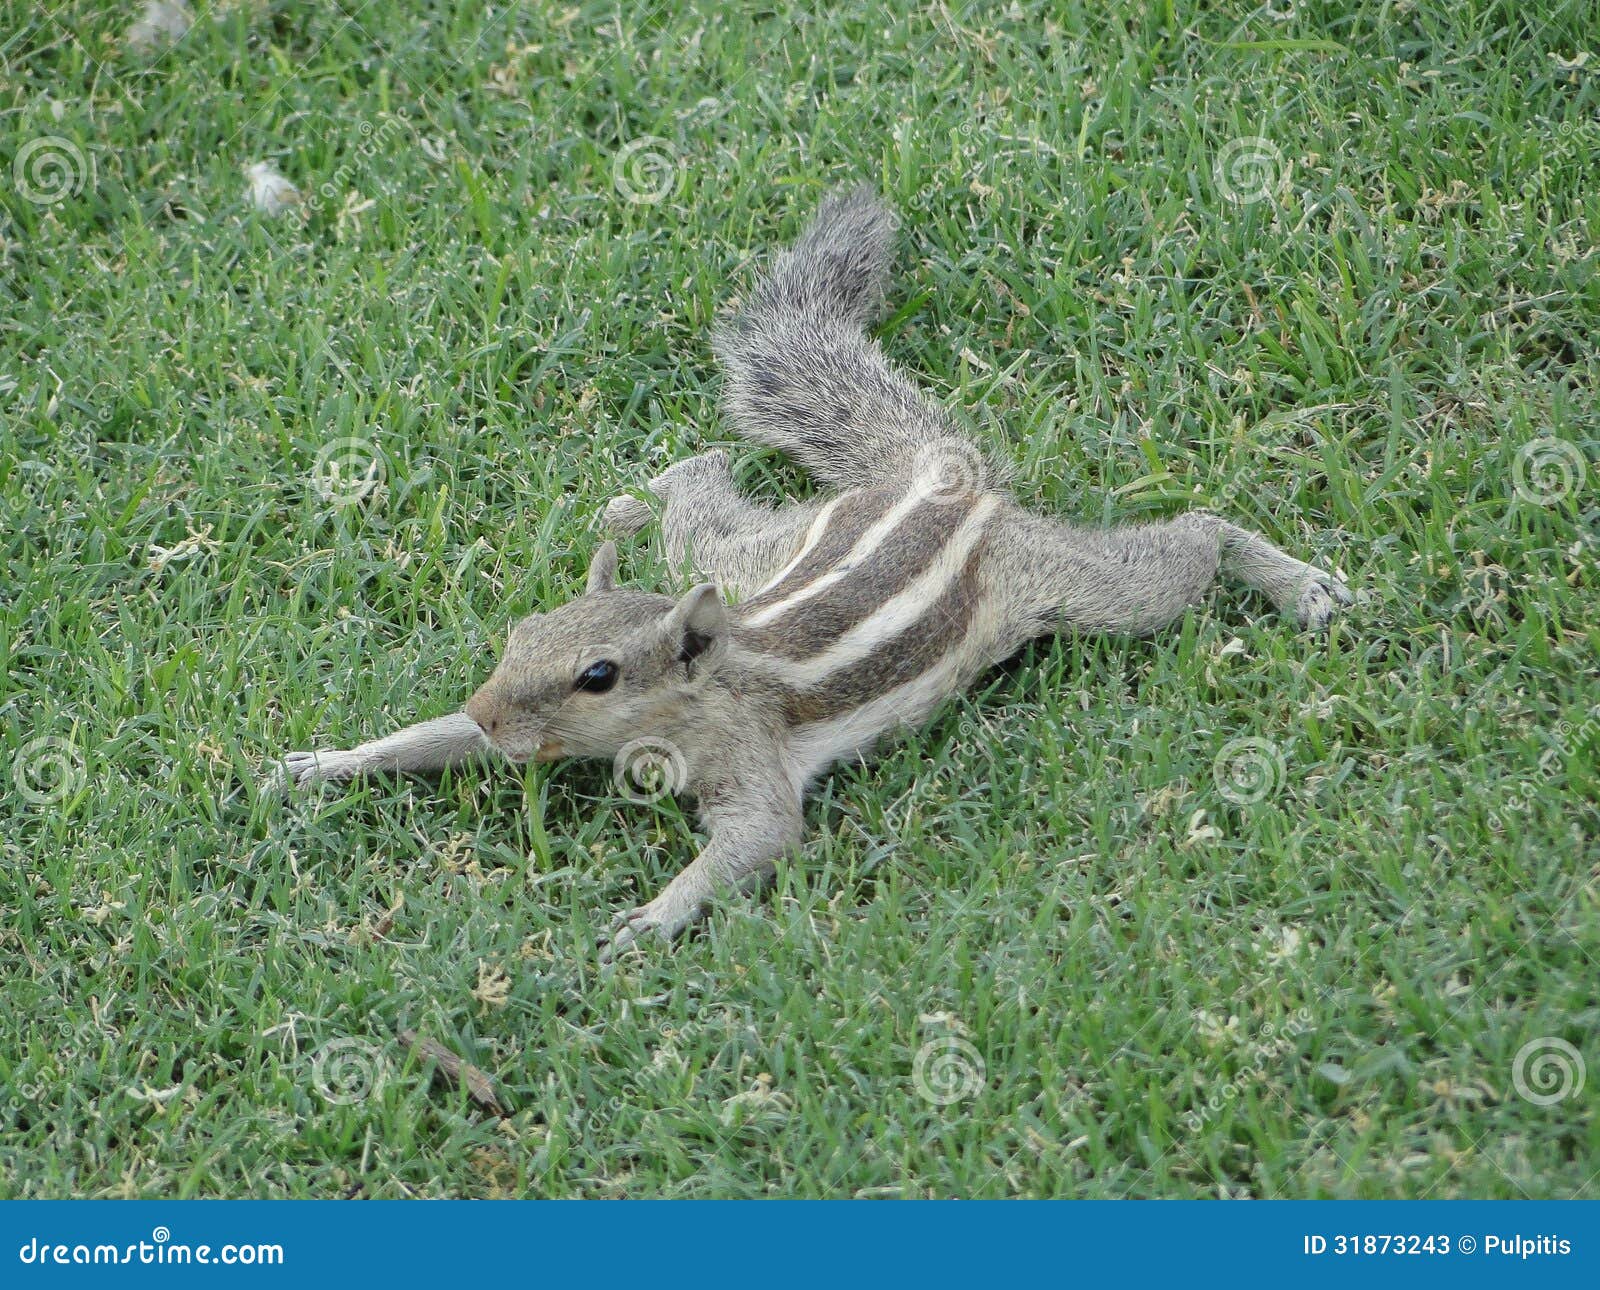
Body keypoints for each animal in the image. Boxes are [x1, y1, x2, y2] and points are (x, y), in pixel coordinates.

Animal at [277, 186, 1353, 960]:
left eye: (599, 676)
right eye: (517, 639)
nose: (493, 708)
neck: (705, 690)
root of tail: (930, 481)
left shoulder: (749, 763)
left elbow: (758, 839)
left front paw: (655, 917)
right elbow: (438, 742)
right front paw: (329, 762)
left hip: (1065, 584)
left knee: (1189, 547)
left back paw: (1297, 583)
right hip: (743, 554)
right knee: (699, 488)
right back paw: (639, 495)